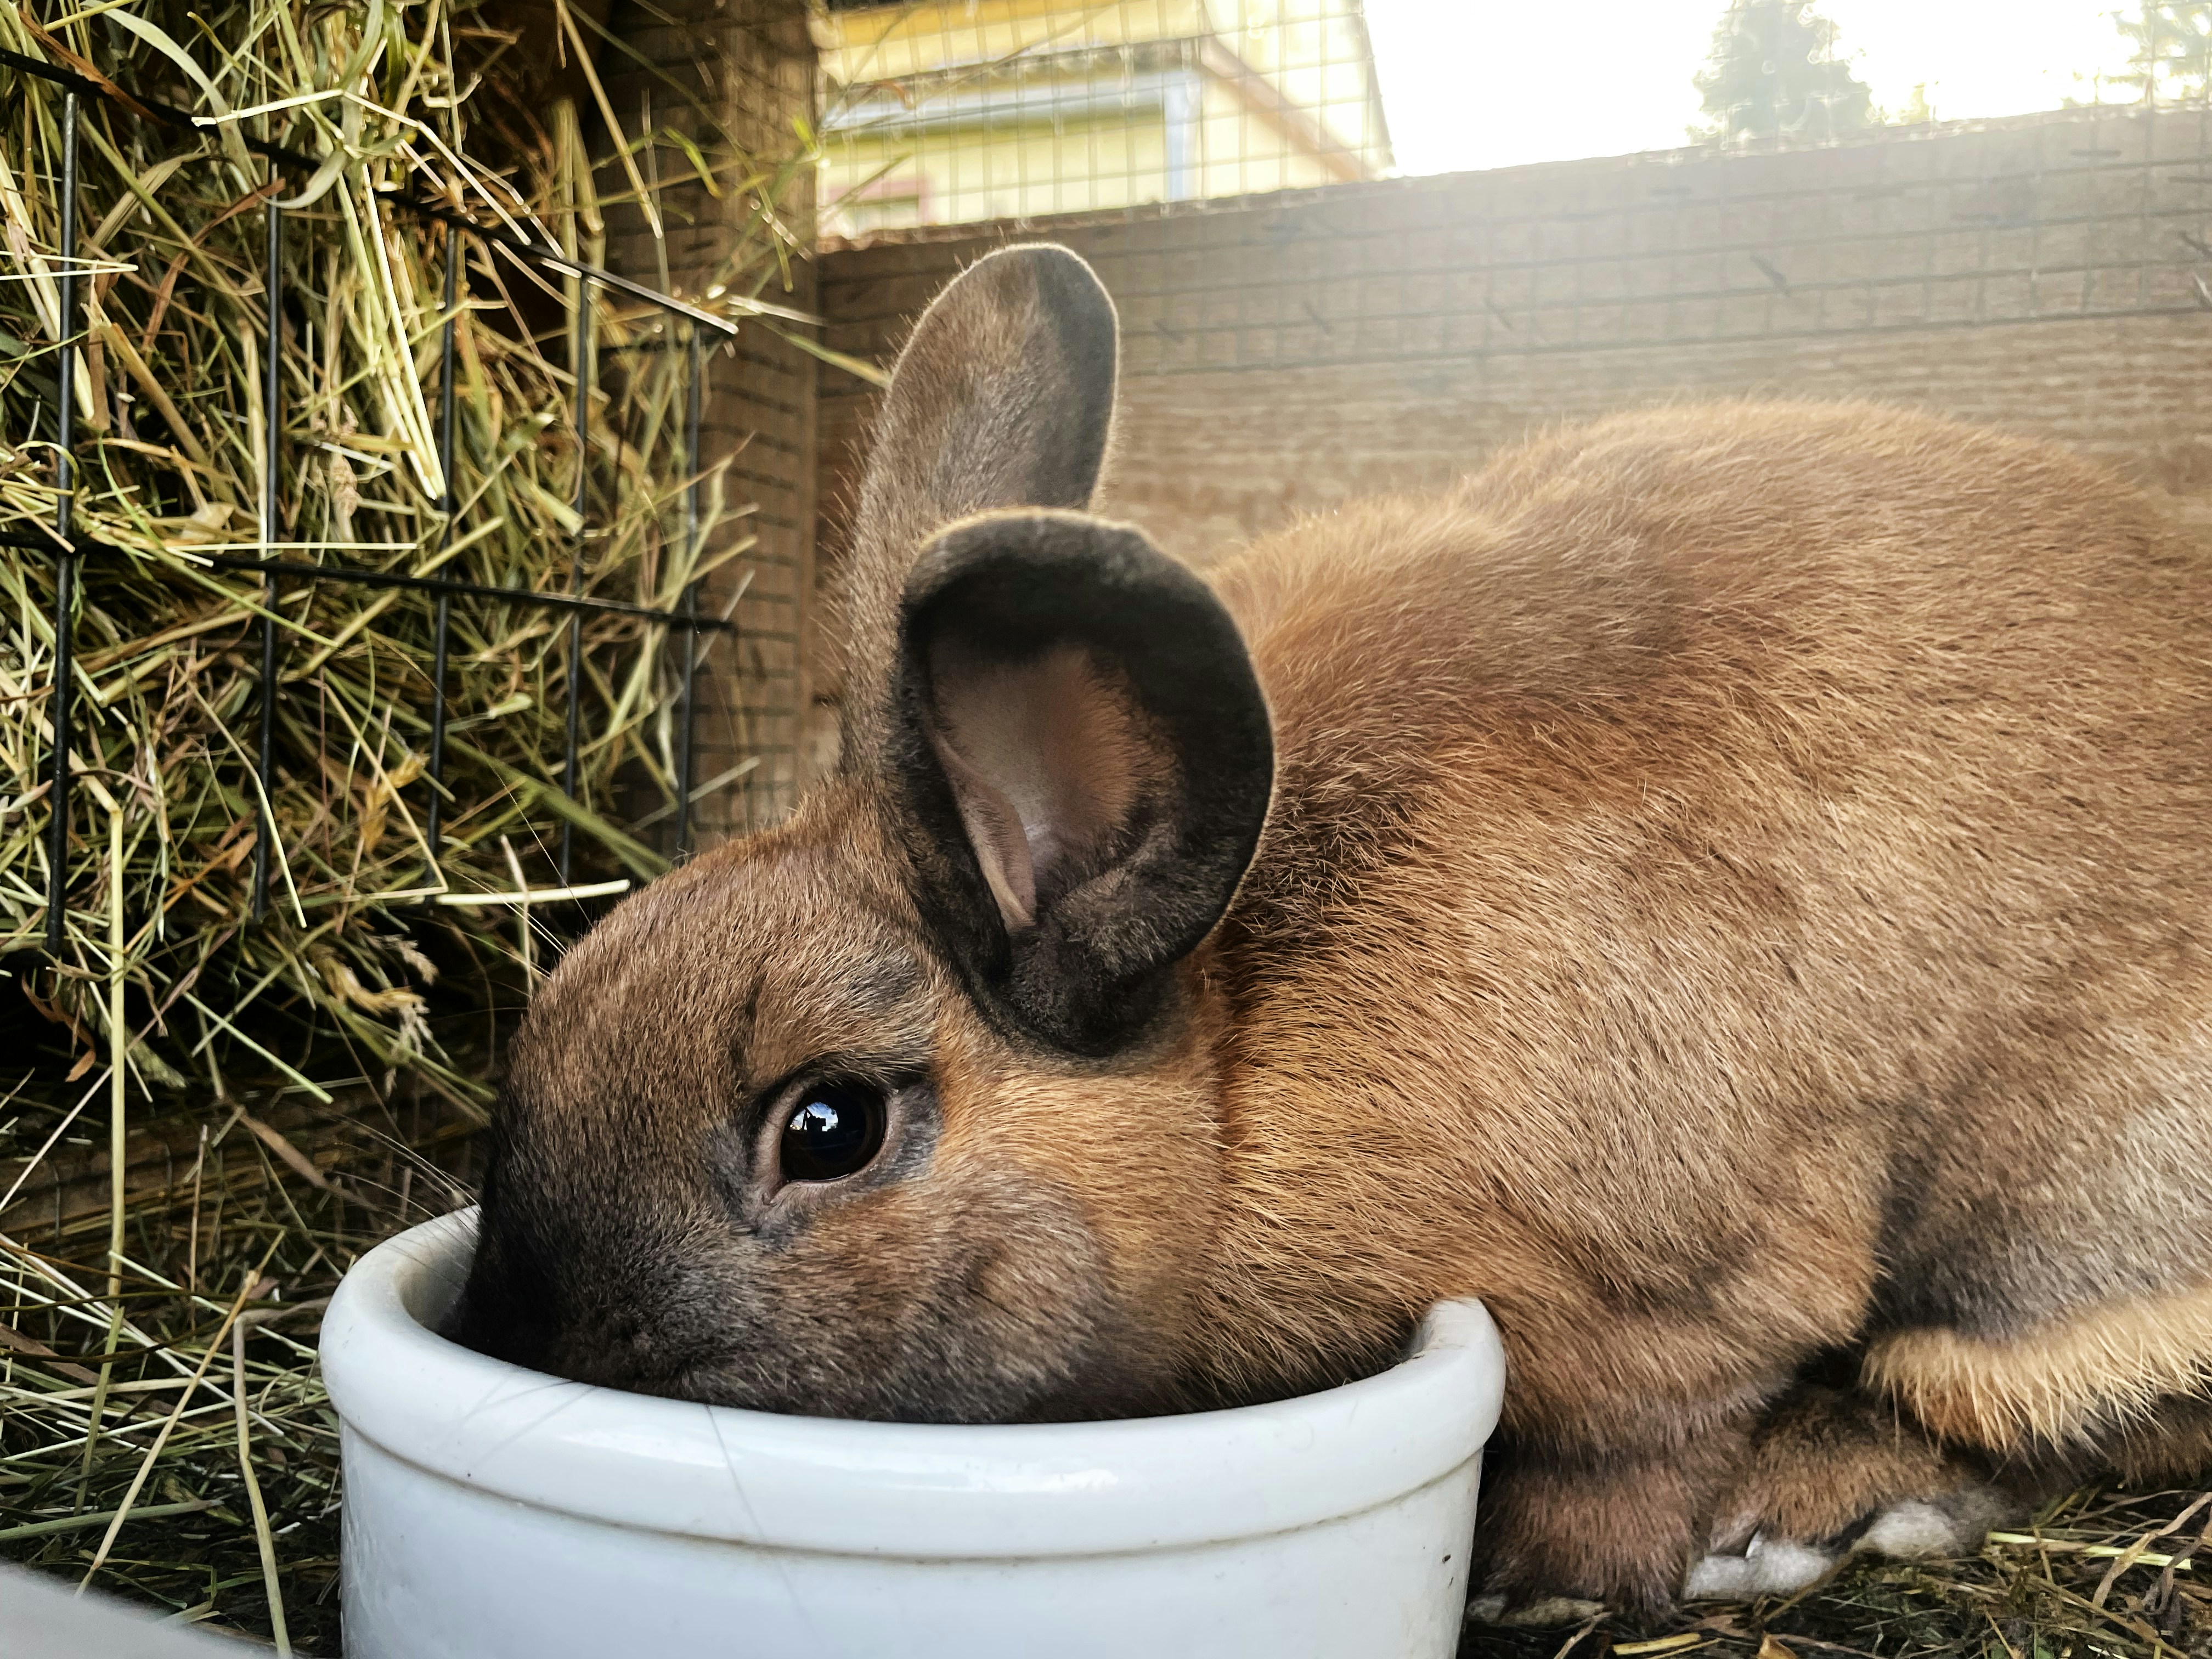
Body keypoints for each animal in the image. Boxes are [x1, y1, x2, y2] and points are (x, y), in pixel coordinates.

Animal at [449, 242, 2212, 1615]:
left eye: (828, 1128)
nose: (520, 1334)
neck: (1238, 1062)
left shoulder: (1692, 1301)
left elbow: (1640, 1450)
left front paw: (1541, 1579)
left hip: (2051, 1263)